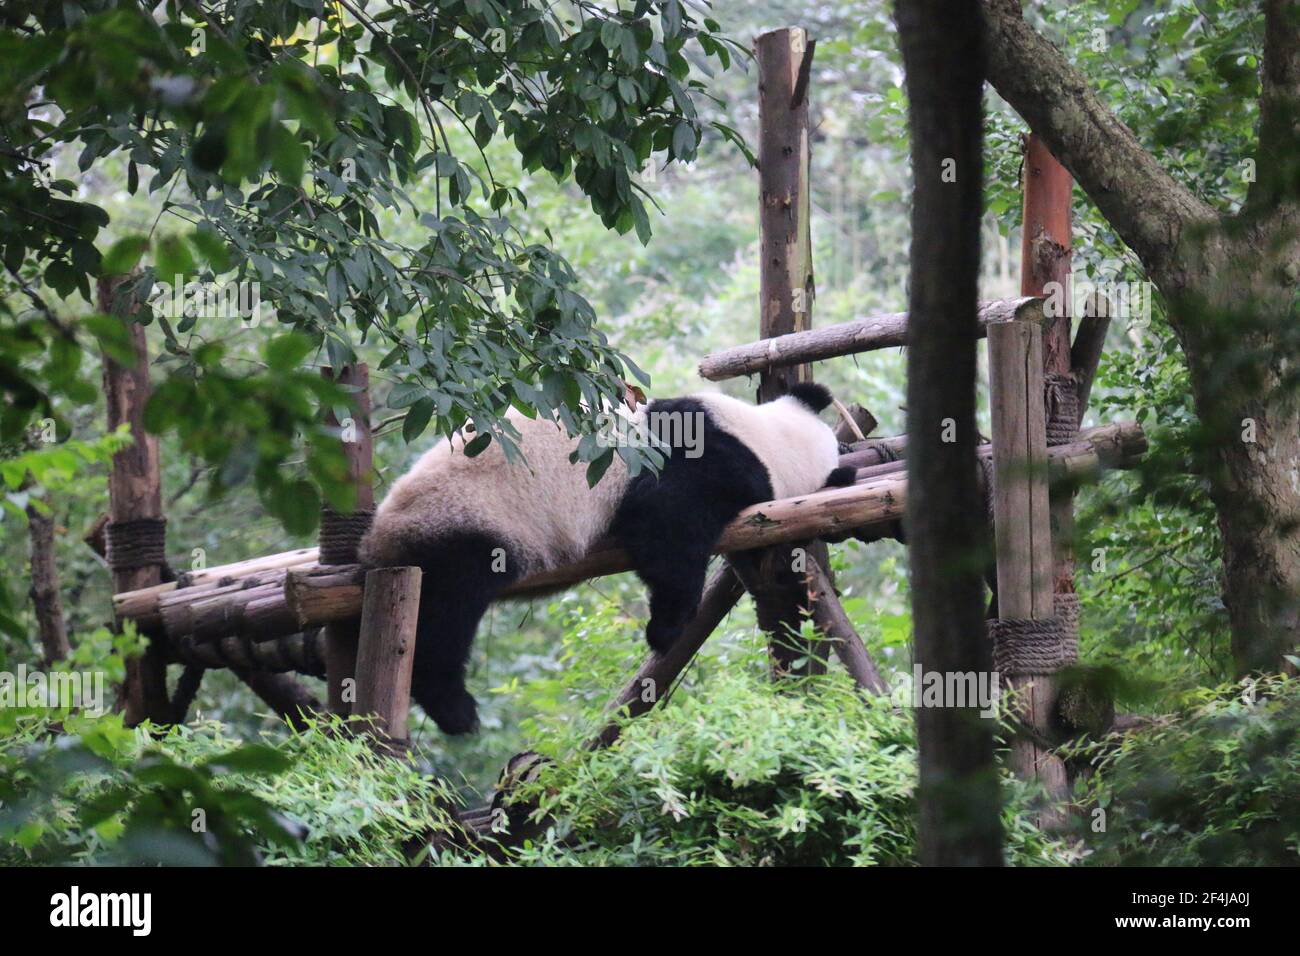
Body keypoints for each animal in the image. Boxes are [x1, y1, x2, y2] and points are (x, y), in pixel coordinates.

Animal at [359, 381, 856, 735]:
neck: (766, 437)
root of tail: (380, 540)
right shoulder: (696, 460)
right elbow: (668, 530)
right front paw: (666, 628)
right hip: (463, 523)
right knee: (447, 611)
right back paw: (455, 708)